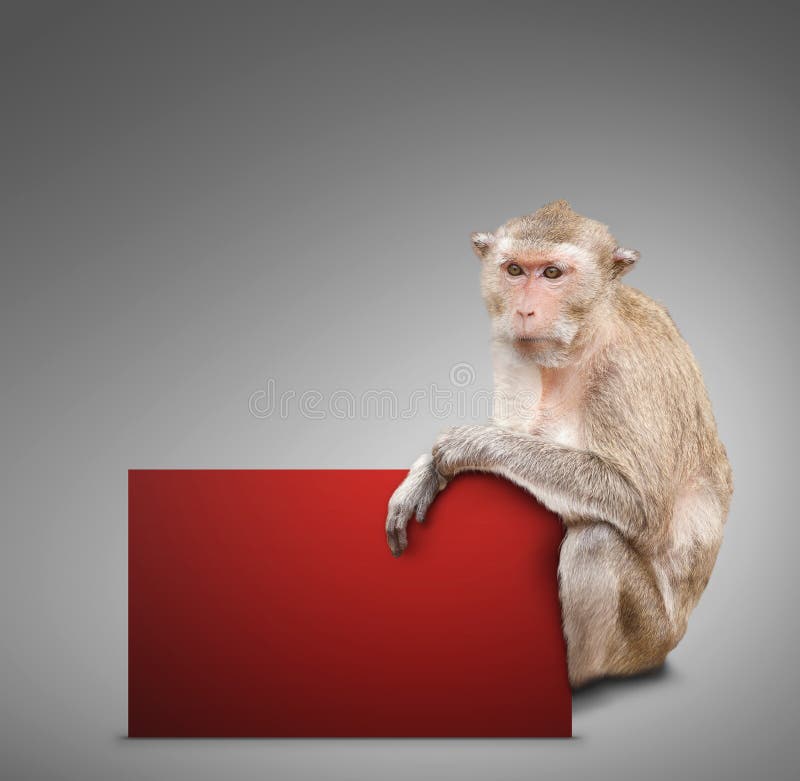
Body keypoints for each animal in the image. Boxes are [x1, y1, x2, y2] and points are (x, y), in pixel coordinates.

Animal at [385, 200, 733, 688]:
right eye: (514, 270)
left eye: (552, 273)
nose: (525, 310)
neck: (579, 345)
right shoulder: (513, 356)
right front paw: (424, 474)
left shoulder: (626, 374)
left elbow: (638, 503)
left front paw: (468, 443)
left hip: (647, 640)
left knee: (597, 541)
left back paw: (577, 680)